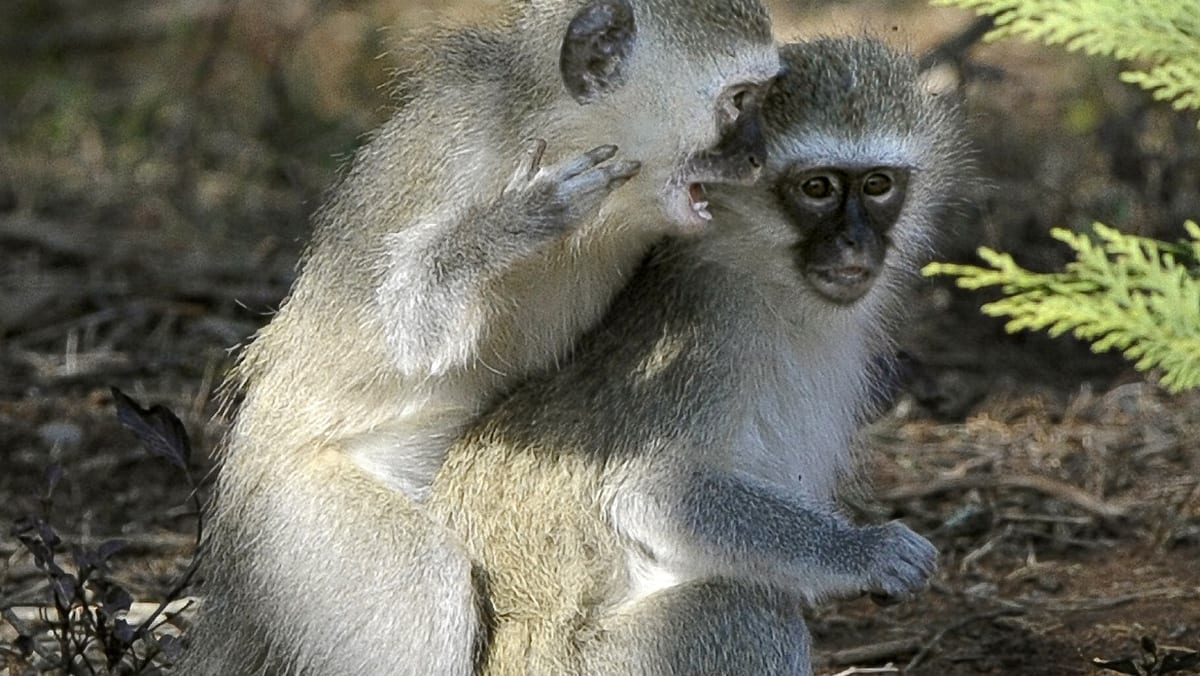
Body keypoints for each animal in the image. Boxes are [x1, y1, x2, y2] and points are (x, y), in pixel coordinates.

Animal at [178, 1, 780, 674]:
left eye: (764, 98)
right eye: (740, 101)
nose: (759, 160)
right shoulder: (464, 156)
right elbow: (413, 328)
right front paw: (508, 226)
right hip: (292, 540)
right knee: (423, 582)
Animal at [428, 35, 971, 675]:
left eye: (877, 184)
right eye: (817, 189)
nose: (854, 244)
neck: (760, 272)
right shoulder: (709, 335)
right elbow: (651, 492)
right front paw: (869, 551)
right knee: (744, 610)